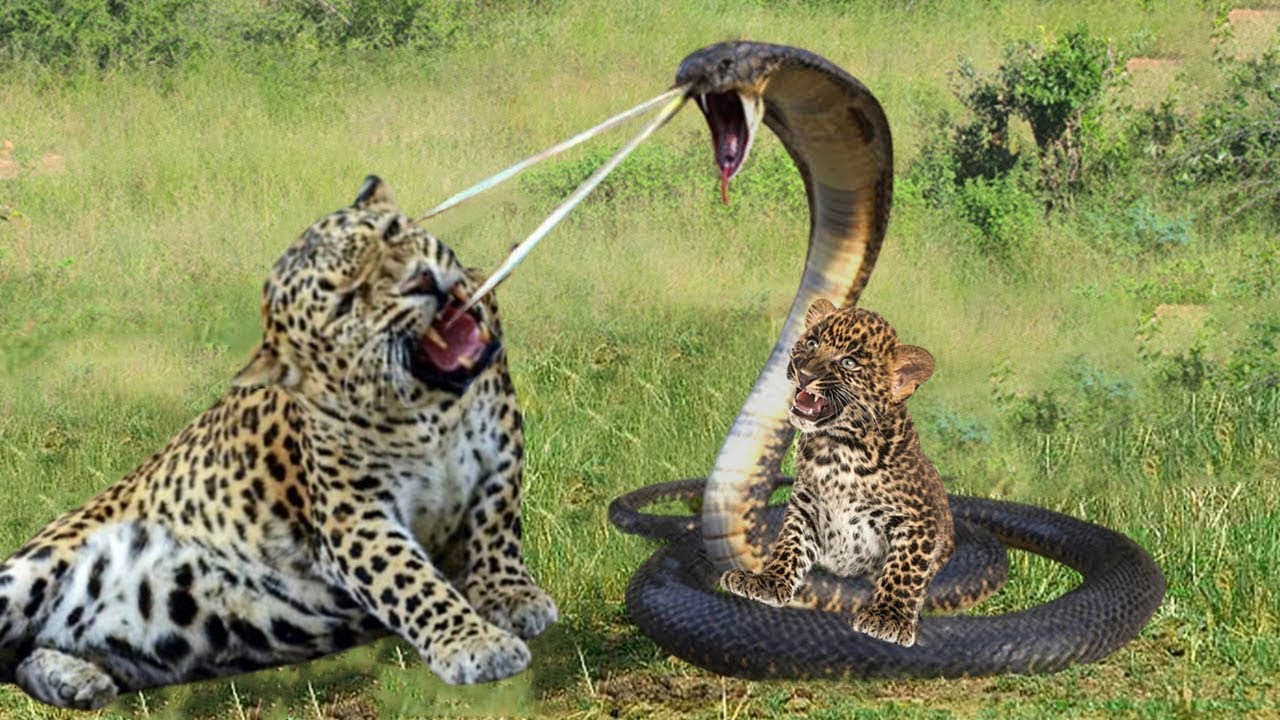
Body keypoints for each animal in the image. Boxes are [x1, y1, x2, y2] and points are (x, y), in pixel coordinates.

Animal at [0, 176, 558, 709]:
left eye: (393, 233)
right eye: (347, 301)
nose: (420, 280)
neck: (434, 410)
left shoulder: (500, 450)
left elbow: (496, 525)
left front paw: (509, 596)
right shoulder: (353, 516)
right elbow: (410, 580)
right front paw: (475, 643)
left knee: (25, 657)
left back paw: (77, 680)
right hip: (28, 574)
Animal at [720, 299, 953, 647]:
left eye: (849, 363)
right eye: (812, 343)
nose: (804, 373)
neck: (837, 450)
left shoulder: (919, 519)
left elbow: (904, 569)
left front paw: (888, 617)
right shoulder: (807, 506)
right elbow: (789, 543)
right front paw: (768, 580)